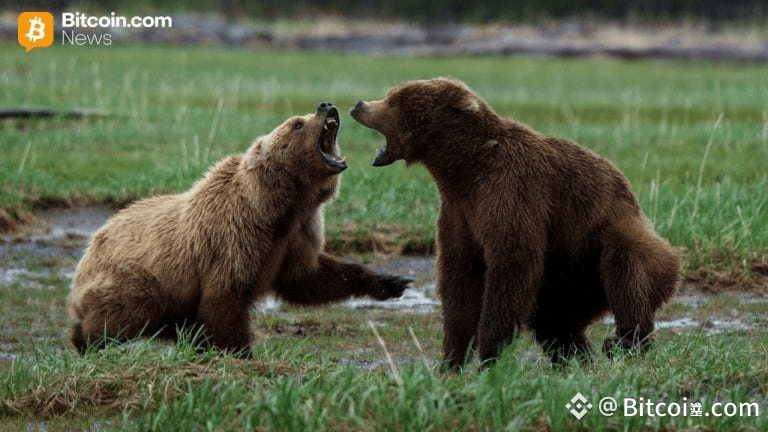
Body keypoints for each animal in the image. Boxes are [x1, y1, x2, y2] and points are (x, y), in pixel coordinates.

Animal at [67, 102, 409, 355]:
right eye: (297, 123)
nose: (326, 105)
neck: (280, 206)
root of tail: (91, 247)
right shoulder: (236, 236)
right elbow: (225, 297)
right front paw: (240, 351)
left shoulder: (297, 233)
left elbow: (309, 276)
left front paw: (391, 282)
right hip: (137, 275)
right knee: (132, 304)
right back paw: (86, 340)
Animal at [350, 78, 680, 369]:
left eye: (393, 100)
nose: (358, 104)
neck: (462, 168)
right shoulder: (460, 211)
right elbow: (459, 277)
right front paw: (451, 361)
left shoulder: (512, 192)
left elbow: (510, 264)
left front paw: (489, 357)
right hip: (568, 276)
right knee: (553, 317)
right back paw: (578, 358)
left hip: (608, 241)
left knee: (626, 267)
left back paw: (624, 342)